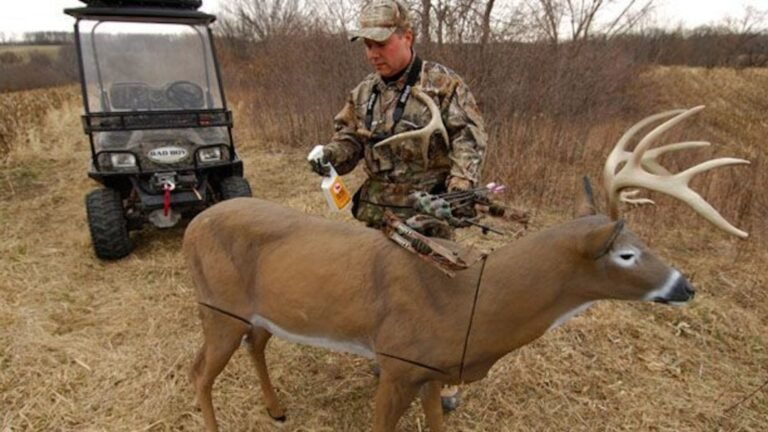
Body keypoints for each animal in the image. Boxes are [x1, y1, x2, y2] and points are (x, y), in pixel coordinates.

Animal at [182, 87, 749, 432]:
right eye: (628, 253)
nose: (685, 286)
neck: (472, 303)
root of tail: (191, 227)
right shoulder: (398, 362)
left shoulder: (431, 369)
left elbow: (437, 421)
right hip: (216, 307)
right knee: (199, 373)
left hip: (253, 314)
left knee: (252, 345)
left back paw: (277, 409)